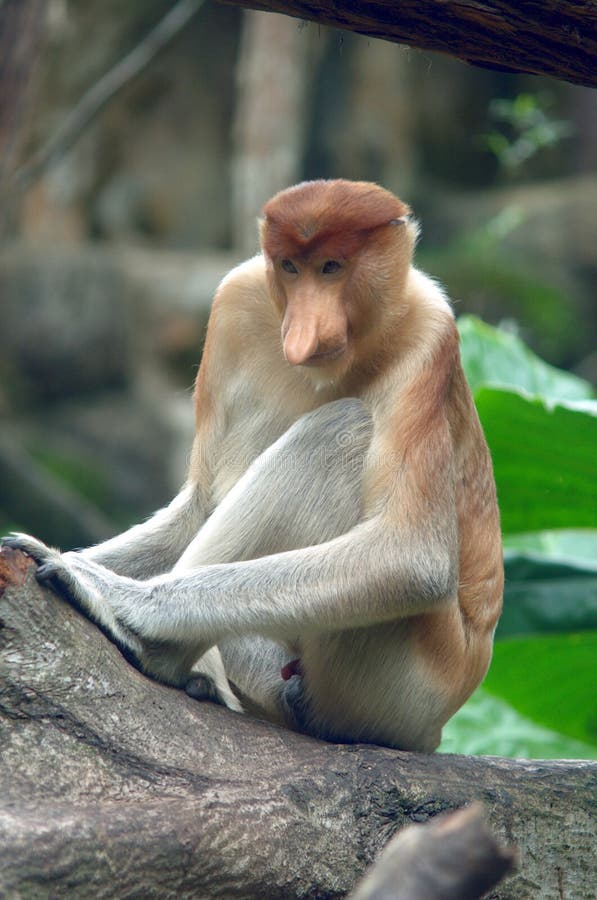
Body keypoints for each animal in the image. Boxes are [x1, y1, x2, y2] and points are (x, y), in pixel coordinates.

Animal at [2, 179, 503, 752]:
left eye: (331, 267)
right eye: (289, 268)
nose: (303, 332)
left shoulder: (430, 337)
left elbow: (412, 557)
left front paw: (120, 597)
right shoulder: (236, 304)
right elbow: (202, 505)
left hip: (399, 684)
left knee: (340, 432)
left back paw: (154, 653)